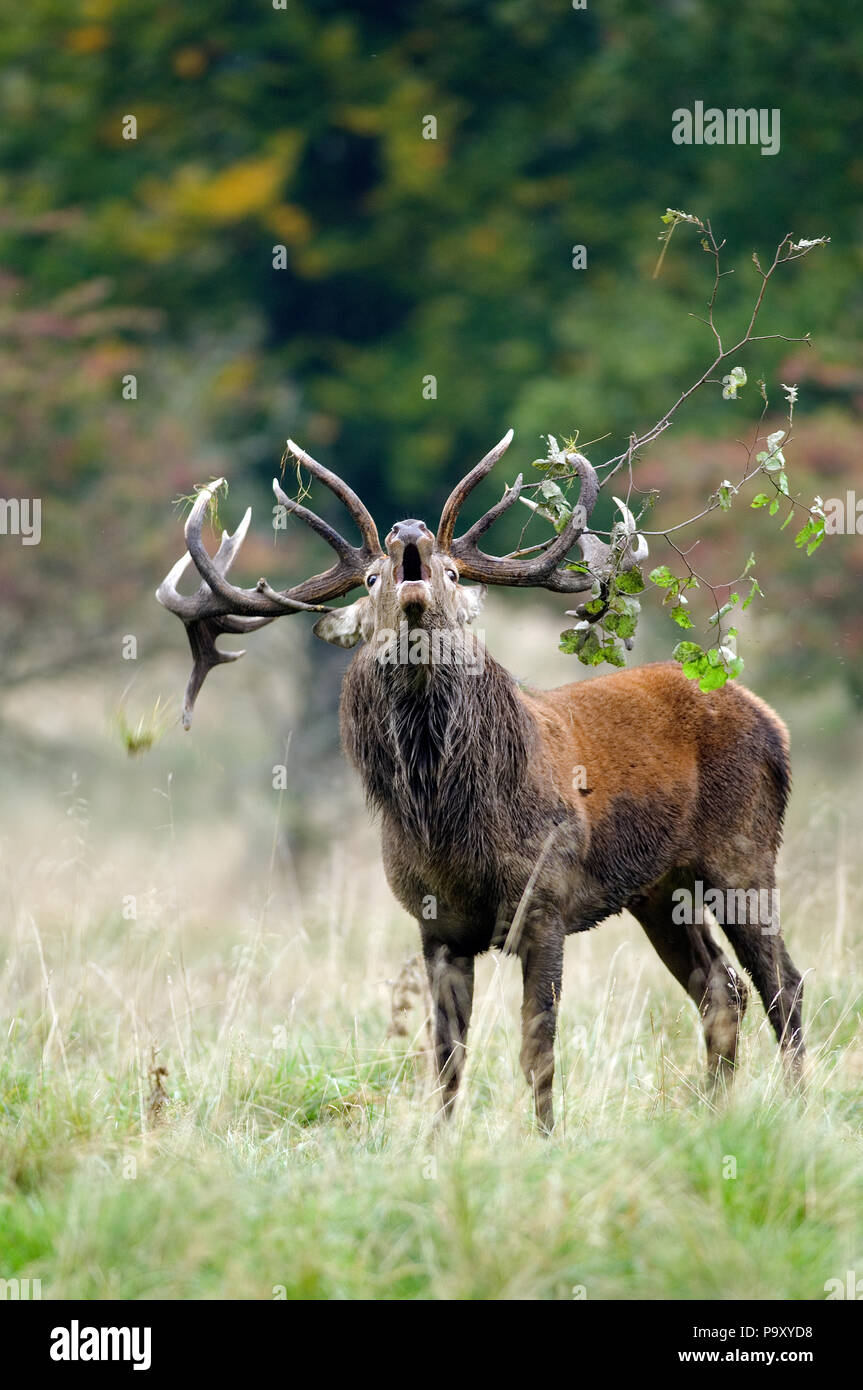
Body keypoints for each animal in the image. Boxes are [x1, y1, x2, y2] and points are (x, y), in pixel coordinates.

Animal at [157, 431, 806, 1130]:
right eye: (370, 577)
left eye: (454, 571)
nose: (408, 531)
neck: (453, 830)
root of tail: (773, 720)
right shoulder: (436, 928)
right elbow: (446, 1059)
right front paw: (440, 1140)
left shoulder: (546, 903)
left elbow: (537, 1047)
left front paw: (546, 1138)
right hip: (659, 889)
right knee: (721, 987)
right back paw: (714, 1110)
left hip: (743, 853)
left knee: (783, 984)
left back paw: (796, 1106)